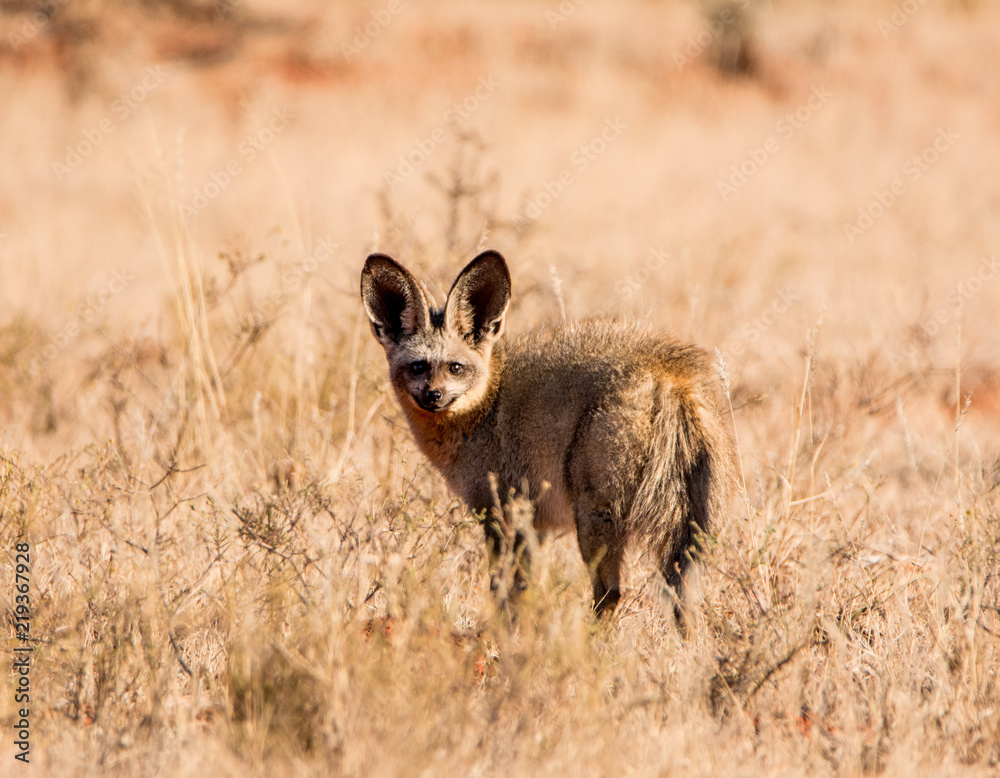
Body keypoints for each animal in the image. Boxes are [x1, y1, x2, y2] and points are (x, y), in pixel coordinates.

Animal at [361, 250, 733, 617]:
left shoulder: (501, 515)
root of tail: (668, 373)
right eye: (418, 367)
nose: (433, 396)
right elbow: (527, 593)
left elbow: (503, 596)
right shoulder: (532, 526)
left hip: (594, 520)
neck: (488, 402)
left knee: (608, 594)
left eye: (455, 368)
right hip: (685, 536)